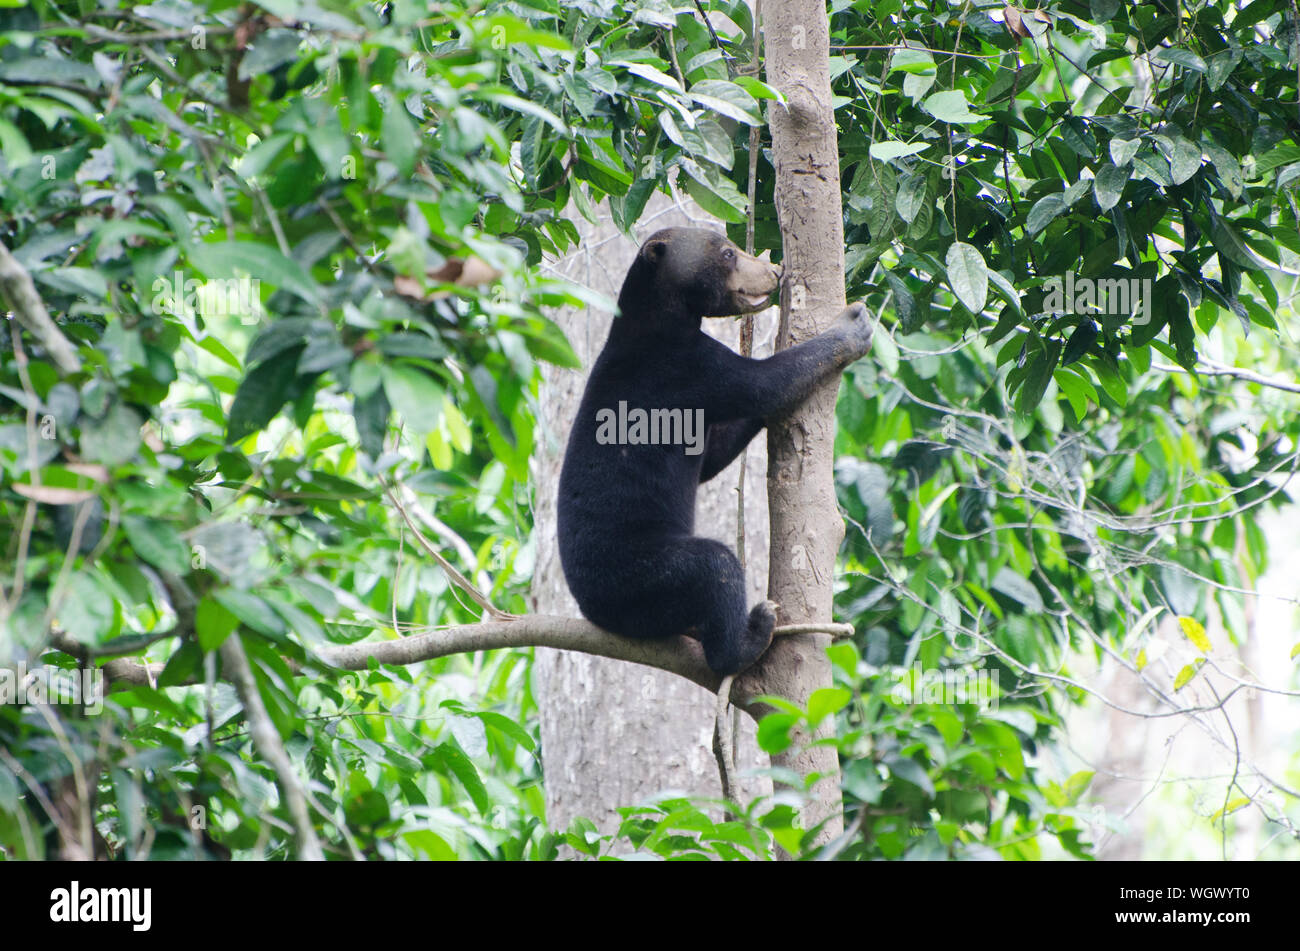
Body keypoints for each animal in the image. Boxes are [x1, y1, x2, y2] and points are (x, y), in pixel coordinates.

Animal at [557, 227, 874, 676]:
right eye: (728, 253)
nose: (775, 271)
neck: (657, 318)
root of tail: (592, 611)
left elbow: (712, 453)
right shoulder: (687, 368)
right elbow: (764, 383)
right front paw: (852, 326)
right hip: (637, 575)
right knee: (714, 567)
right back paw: (752, 633)